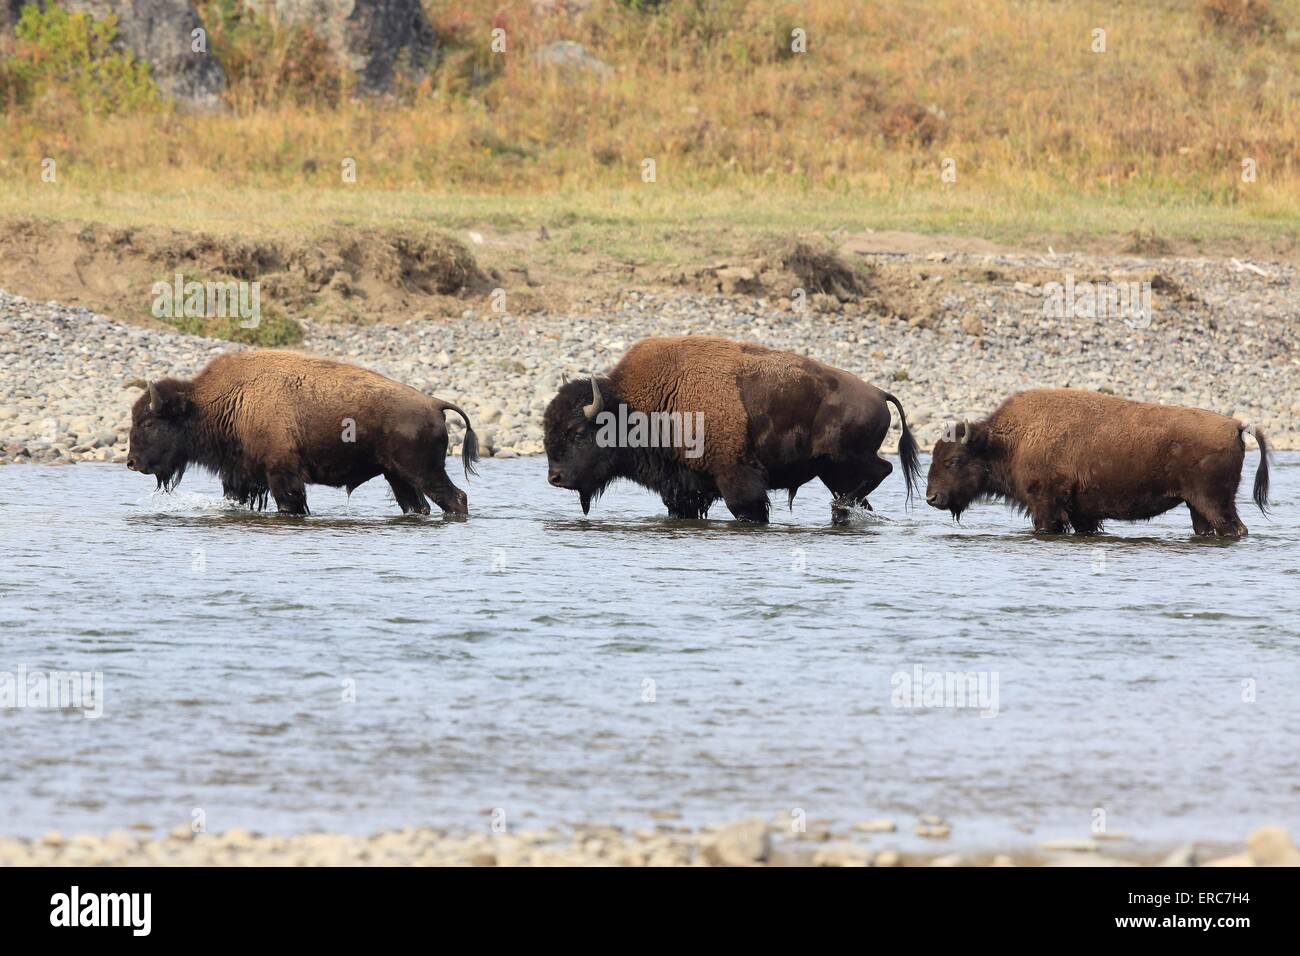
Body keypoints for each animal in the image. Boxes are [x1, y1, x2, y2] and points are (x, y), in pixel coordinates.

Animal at [126, 350, 478, 516]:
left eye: (149, 423)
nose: (131, 462)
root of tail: (434, 403)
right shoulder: (240, 477)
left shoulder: (282, 474)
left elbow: (290, 503)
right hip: (398, 476)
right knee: (419, 506)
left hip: (423, 471)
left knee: (455, 498)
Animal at [543, 336, 920, 523]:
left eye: (578, 432)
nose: (555, 478)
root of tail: (878, 393)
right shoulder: (683, 491)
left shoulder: (737, 478)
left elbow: (749, 509)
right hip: (832, 470)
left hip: (847, 458)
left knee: (882, 470)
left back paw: (840, 508)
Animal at [926, 389, 1270, 536]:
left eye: (954, 460)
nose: (931, 497)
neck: (1011, 441)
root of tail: (1235, 425)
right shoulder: (1082, 514)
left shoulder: (1047, 507)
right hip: (1196, 506)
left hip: (1213, 502)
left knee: (1234, 528)